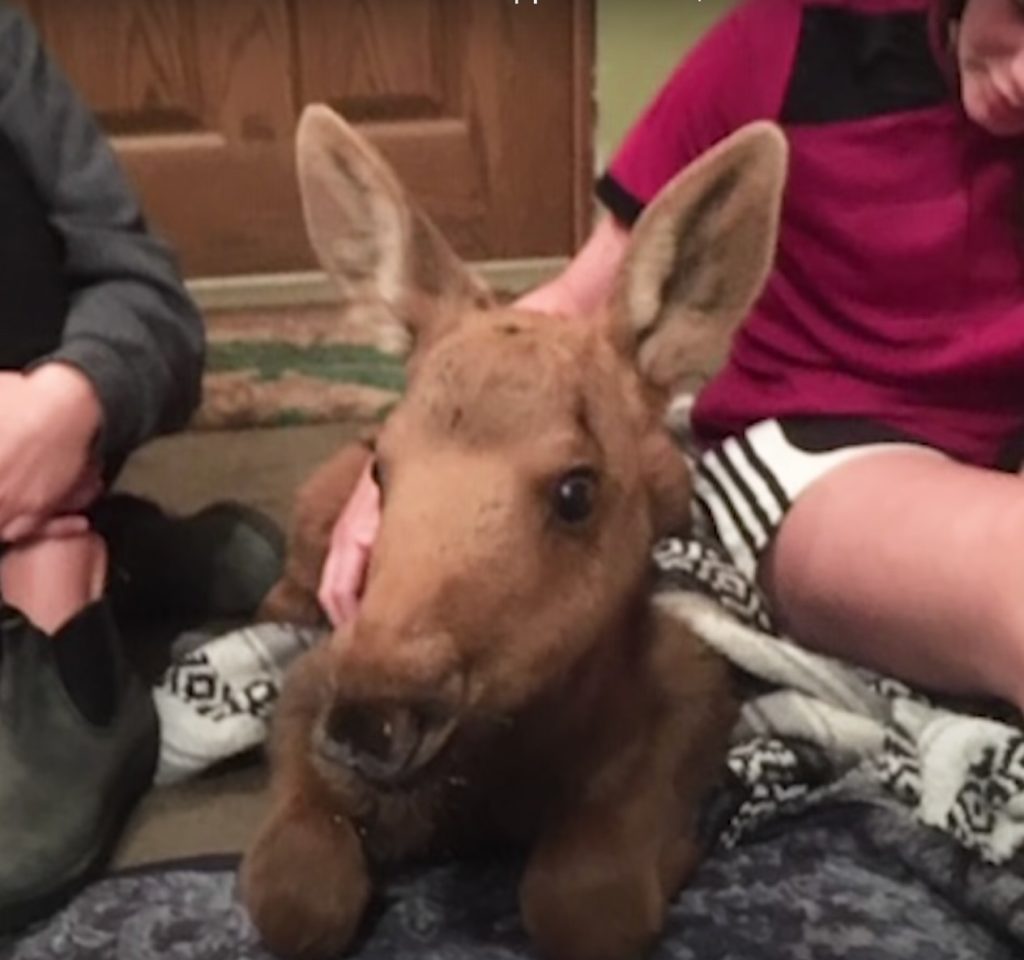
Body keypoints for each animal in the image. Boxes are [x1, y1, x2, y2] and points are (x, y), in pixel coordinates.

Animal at [242, 103, 787, 960]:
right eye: (384, 467)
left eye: (577, 490)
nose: (371, 715)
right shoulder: (308, 691)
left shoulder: (698, 689)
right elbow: (295, 899)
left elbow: (585, 900)